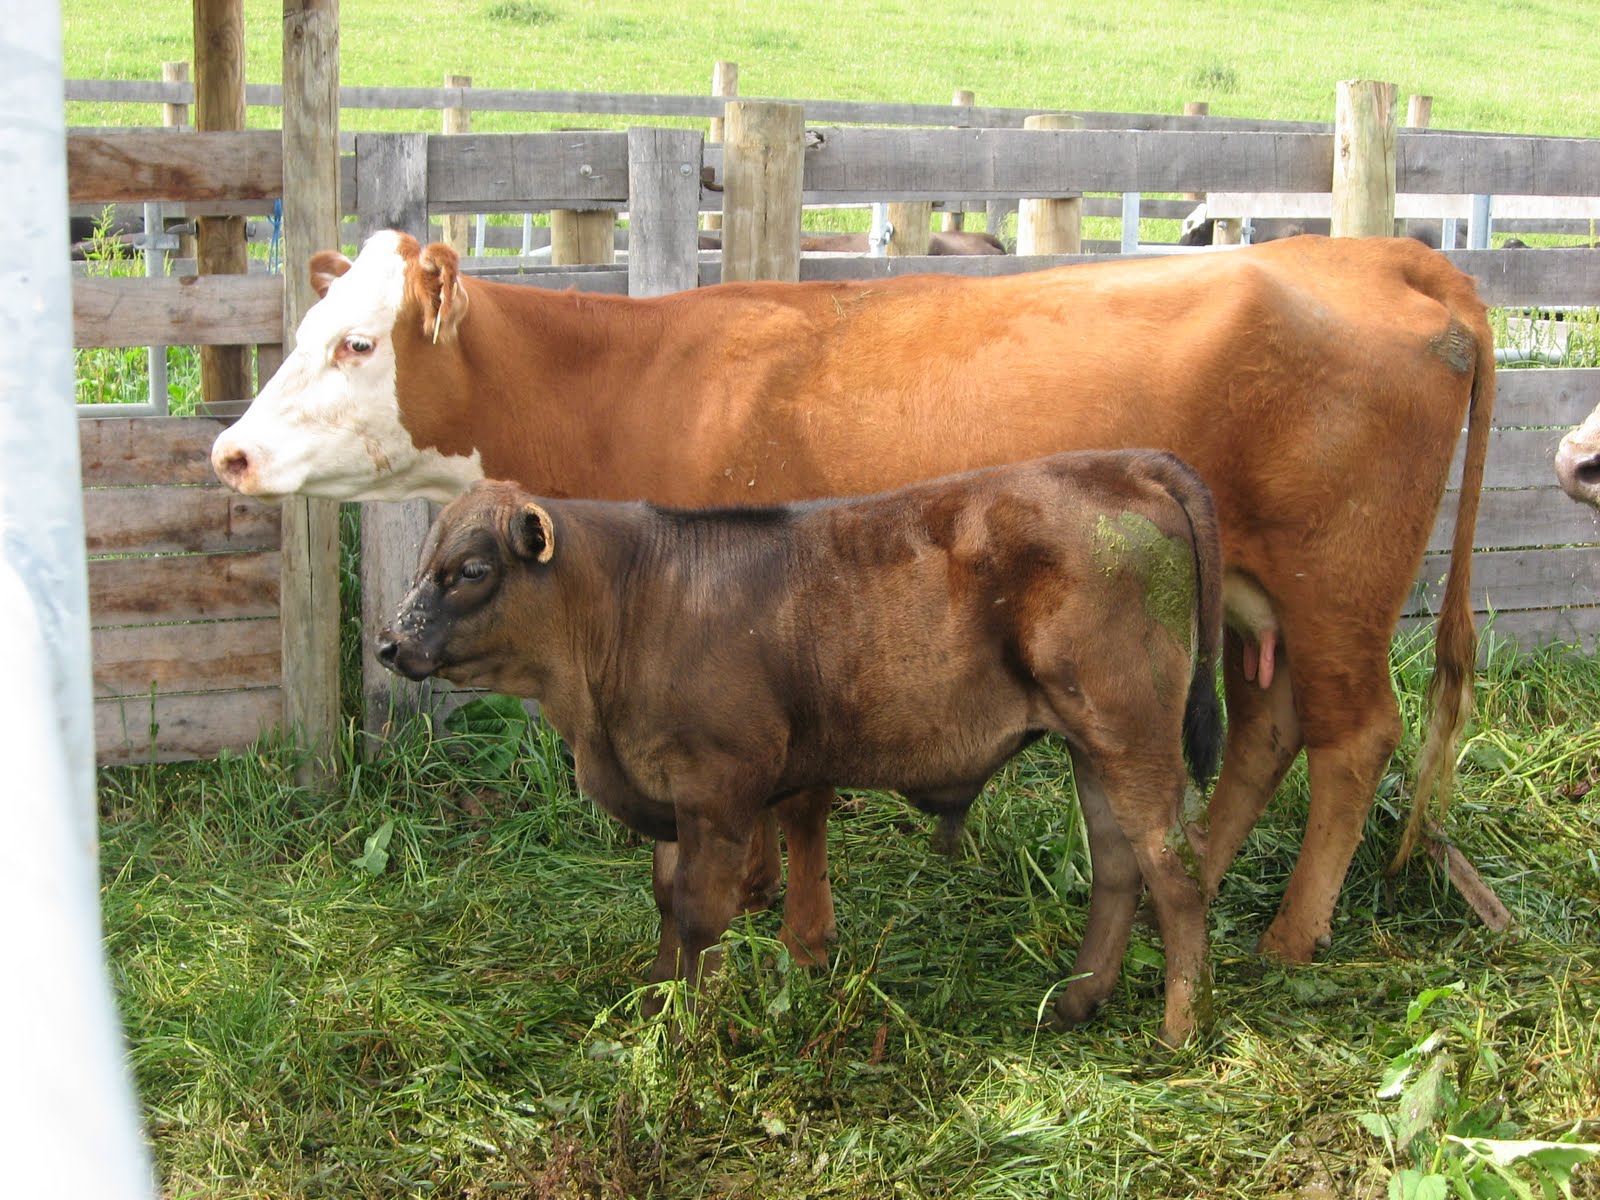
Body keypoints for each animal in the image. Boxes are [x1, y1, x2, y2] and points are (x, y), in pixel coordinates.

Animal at [210, 229, 1496, 977]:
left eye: (355, 344)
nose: (229, 452)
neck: (634, 384)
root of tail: (1379, 251)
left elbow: (805, 802)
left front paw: (797, 933)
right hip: (1253, 602)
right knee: (1265, 732)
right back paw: (1210, 885)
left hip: (1336, 591)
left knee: (1354, 738)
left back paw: (1289, 934)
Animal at [377, 451, 1225, 1046]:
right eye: (421, 568)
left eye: (472, 570)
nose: (388, 643)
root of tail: (1123, 462)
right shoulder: (670, 790)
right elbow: (664, 897)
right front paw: (655, 999)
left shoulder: (718, 785)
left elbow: (698, 911)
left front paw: (683, 1027)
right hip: (1094, 745)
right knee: (1119, 867)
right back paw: (1078, 998)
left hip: (1132, 735)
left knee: (1178, 876)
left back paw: (1179, 1031)